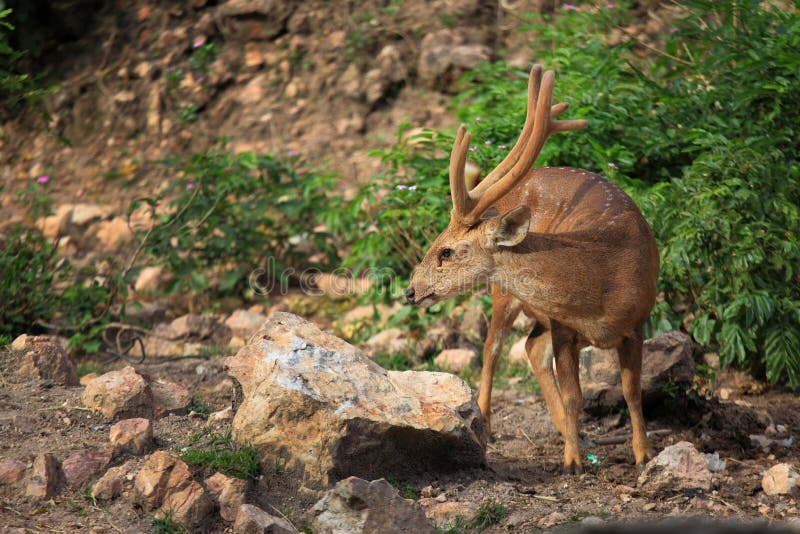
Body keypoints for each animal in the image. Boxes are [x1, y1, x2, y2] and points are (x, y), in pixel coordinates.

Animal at [404, 65, 659, 474]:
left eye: (445, 251)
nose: (411, 290)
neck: (601, 283)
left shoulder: (638, 322)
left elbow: (633, 392)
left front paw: (643, 454)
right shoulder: (564, 326)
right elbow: (575, 395)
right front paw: (572, 461)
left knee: (529, 347)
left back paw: (570, 432)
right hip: (504, 296)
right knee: (493, 348)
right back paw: (488, 425)